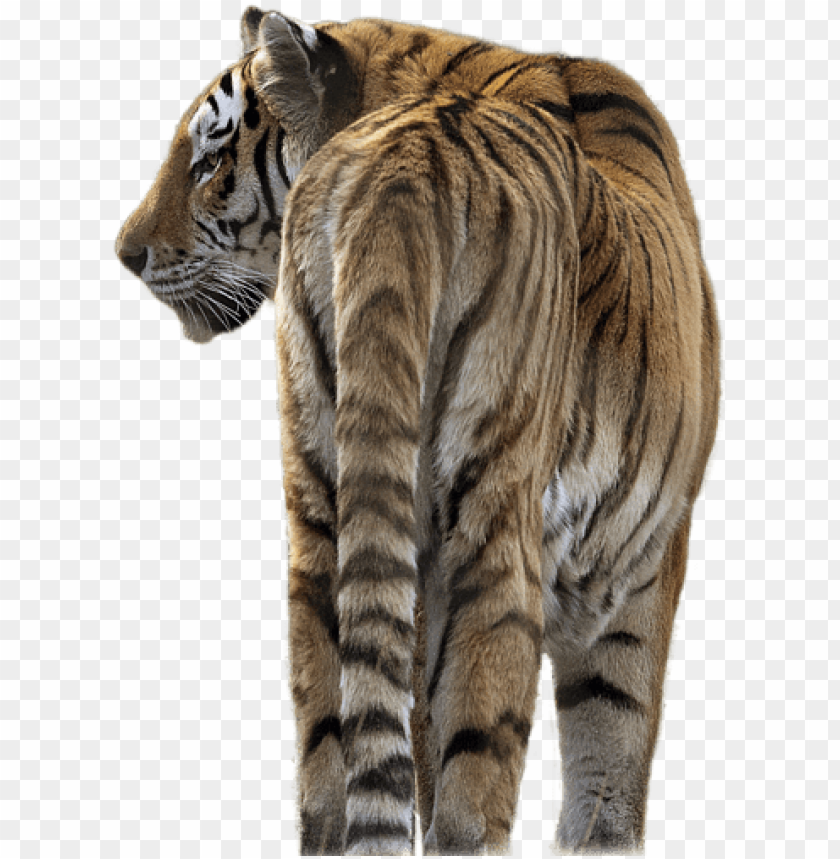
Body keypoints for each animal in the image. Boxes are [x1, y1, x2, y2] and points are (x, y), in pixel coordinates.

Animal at [115, 7, 720, 855]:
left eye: (211, 159)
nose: (127, 254)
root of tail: (406, 159)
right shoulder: (640, 567)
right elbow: (607, 767)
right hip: (488, 510)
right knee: (467, 788)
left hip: (323, 497)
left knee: (332, 763)